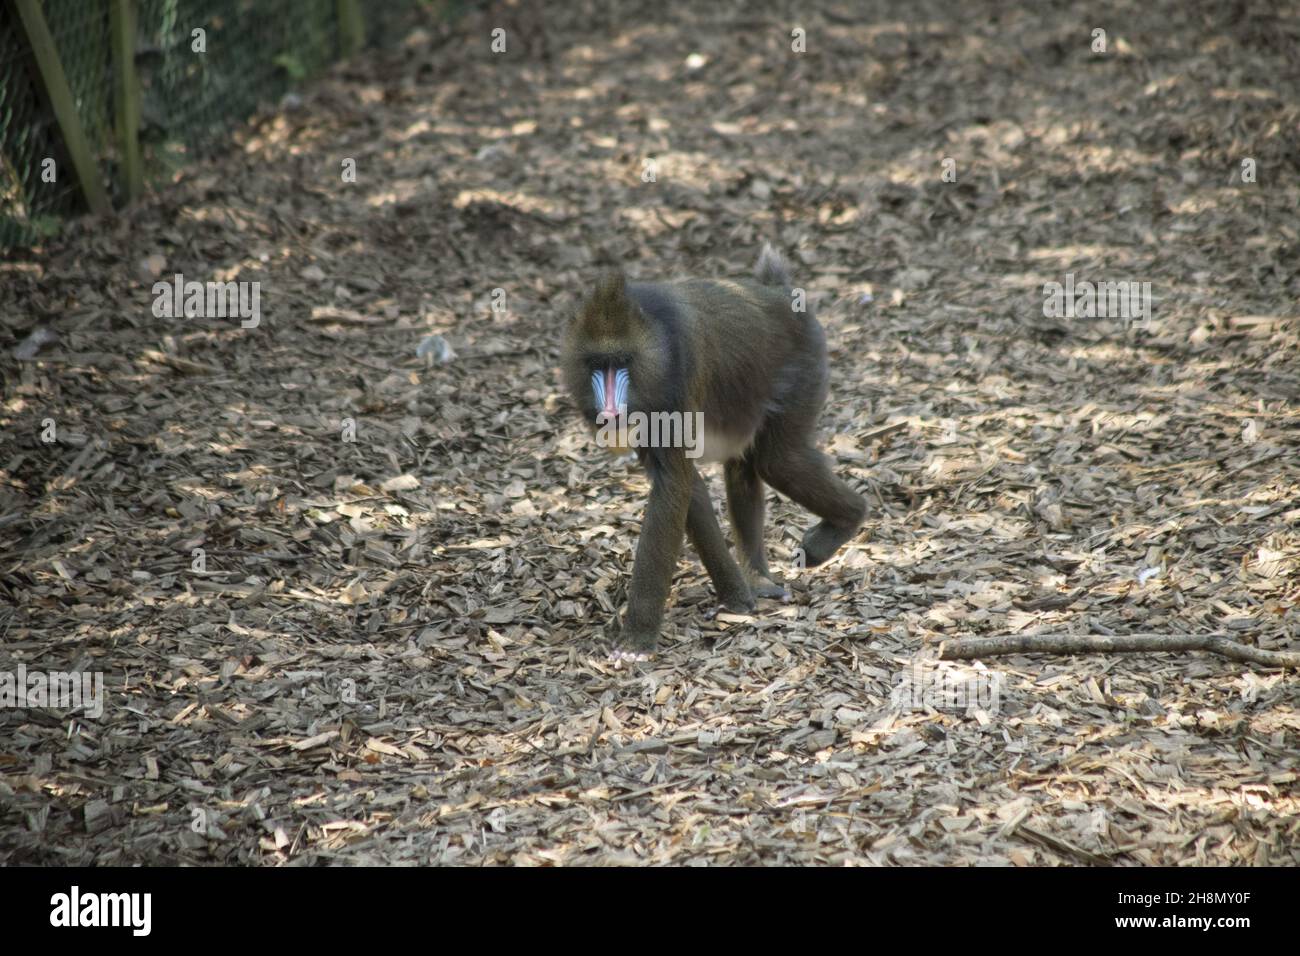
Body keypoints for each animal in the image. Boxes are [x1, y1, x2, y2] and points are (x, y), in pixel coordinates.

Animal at [562, 245, 866, 661]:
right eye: (596, 364)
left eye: (622, 362)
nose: (609, 413)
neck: (655, 341)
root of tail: (776, 292)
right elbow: (688, 490)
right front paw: (736, 599)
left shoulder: (680, 379)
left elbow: (672, 488)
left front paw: (636, 640)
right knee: (743, 470)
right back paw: (758, 579)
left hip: (804, 375)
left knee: (779, 461)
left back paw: (844, 524)